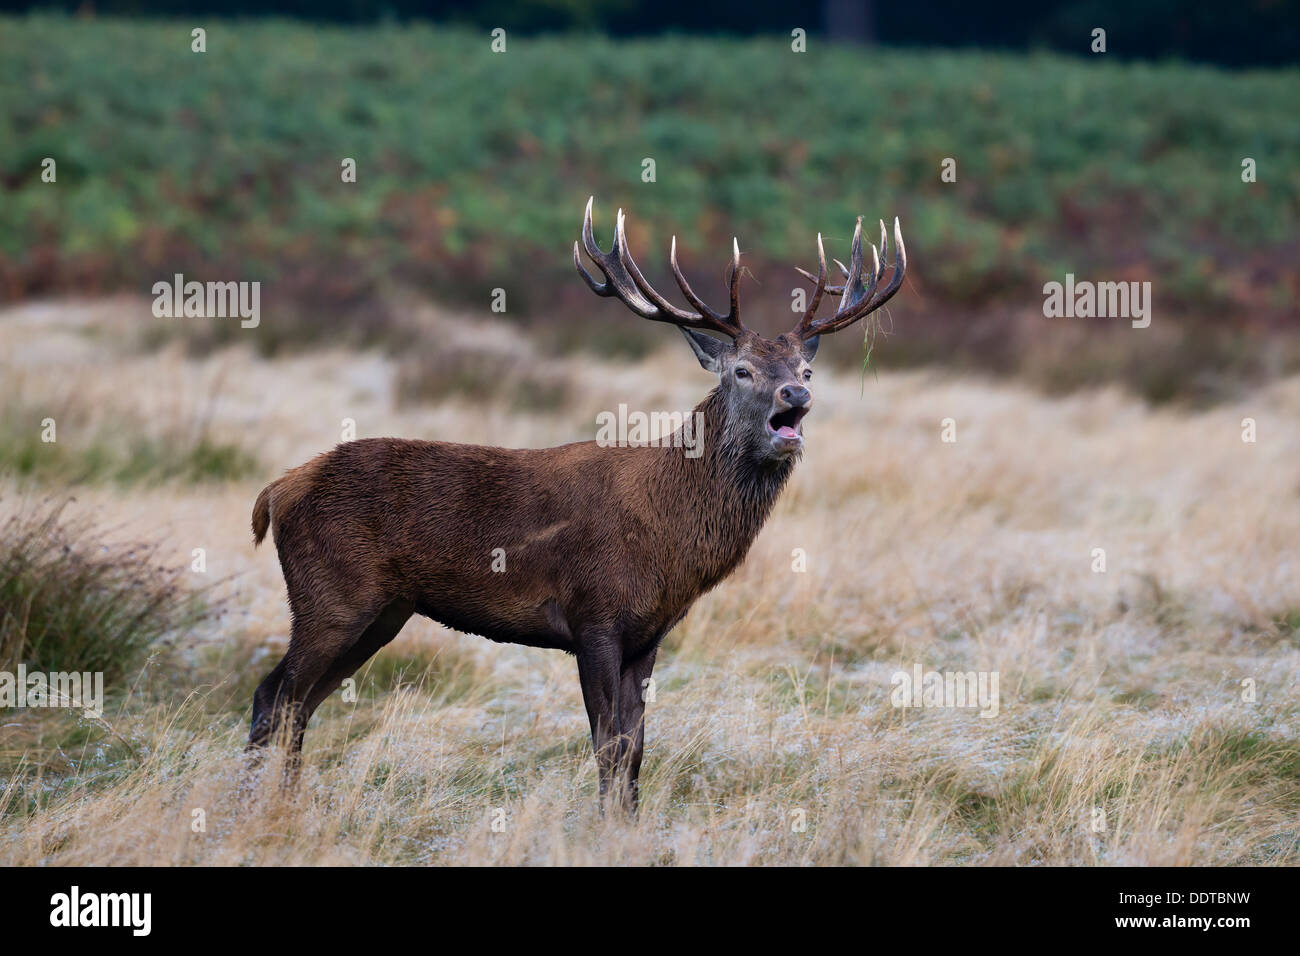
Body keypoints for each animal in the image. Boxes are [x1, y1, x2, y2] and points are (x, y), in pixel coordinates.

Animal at [248, 198, 907, 810]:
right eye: (742, 370)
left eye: (805, 370)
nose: (795, 394)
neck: (671, 537)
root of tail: (278, 490)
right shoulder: (595, 614)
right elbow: (608, 745)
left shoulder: (648, 635)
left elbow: (636, 749)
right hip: (330, 593)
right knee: (272, 696)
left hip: (383, 610)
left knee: (298, 706)